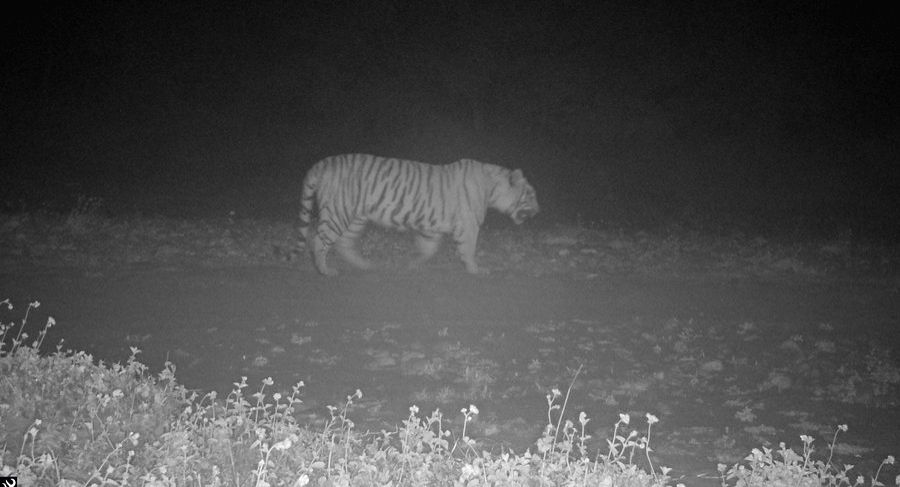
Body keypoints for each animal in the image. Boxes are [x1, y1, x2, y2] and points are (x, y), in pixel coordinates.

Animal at [298, 153, 538, 276]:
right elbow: (469, 249)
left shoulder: (432, 227)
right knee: (318, 239)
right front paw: (476, 269)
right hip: (339, 212)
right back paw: (324, 270)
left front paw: (412, 264)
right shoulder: (469, 224)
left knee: (344, 243)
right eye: (530, 194)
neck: (493, 189)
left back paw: (365, 266)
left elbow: (427, 249)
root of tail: (325, 162)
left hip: (356, 218)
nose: (539, 210)